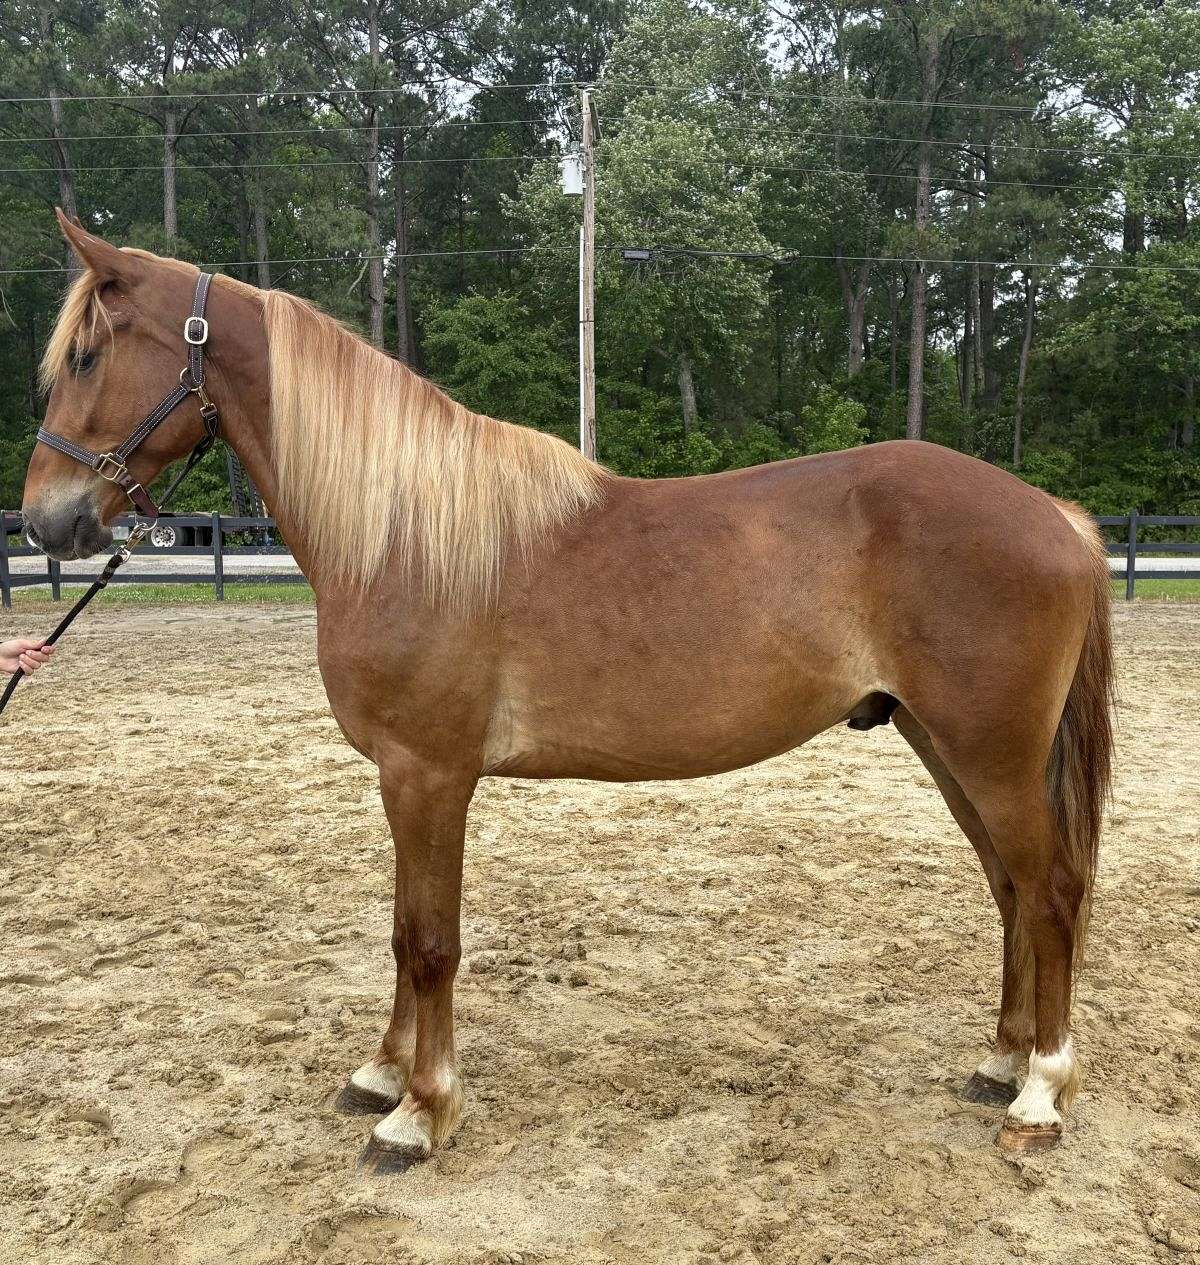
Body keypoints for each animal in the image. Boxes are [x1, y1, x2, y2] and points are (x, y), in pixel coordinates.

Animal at [21, 212, 1114, 1168]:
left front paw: (420, 1112)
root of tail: (1055, 514)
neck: (405, 533)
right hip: (945, 745)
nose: (44, 521)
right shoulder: (401, 778)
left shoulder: (428, 775)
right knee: (1011, 888)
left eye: (86, 357)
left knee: (1053, 888)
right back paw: (1001, 1059)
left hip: (990, 753)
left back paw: (1040, 1092)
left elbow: (430, 939)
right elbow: (400, 930)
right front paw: (381, 1073)